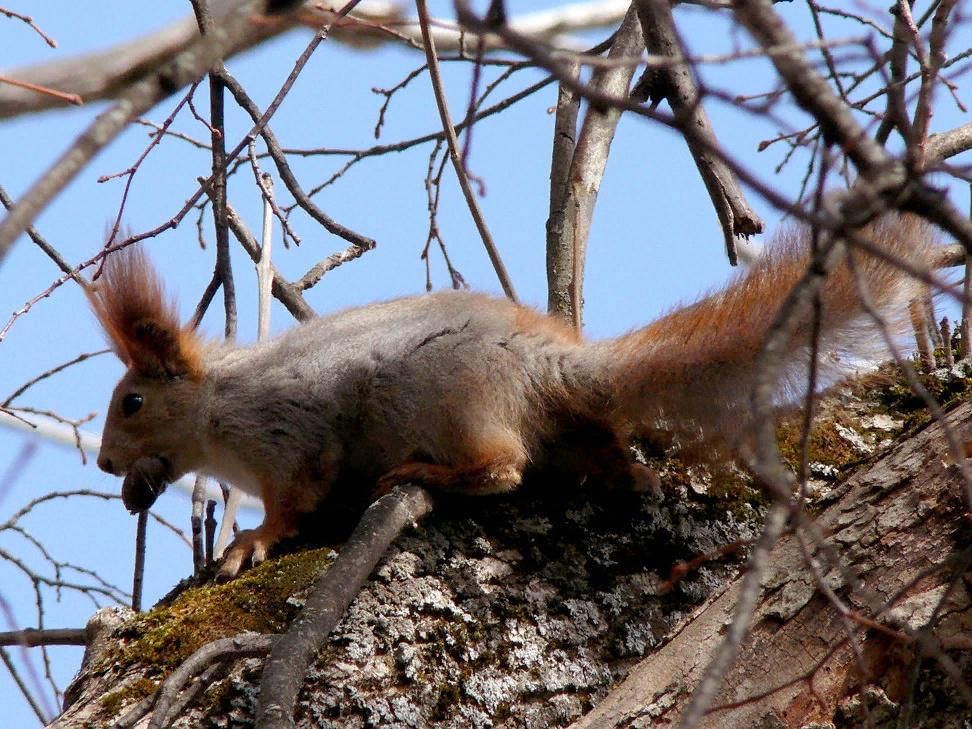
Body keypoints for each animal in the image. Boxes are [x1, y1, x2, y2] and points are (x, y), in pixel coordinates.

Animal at [89, 215, 936, 576]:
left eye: (132, 402)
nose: (104, 464)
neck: (217, 407)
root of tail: (553, 366)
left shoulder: (287, 432)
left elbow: (295, 499)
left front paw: (248, 542)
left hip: (445, 396)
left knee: (504, 467)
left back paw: (427, 473)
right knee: (599, 456)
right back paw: (625, 473)